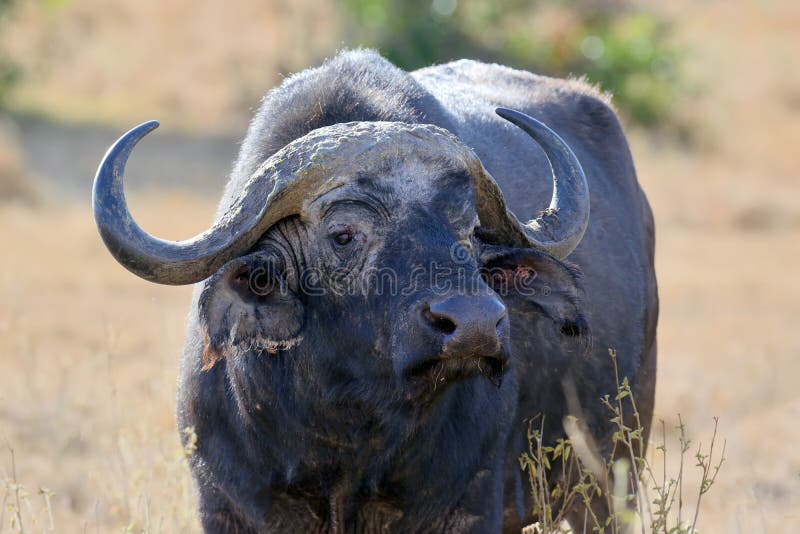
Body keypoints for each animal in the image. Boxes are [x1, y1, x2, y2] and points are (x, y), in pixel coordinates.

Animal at [93, 50, 657, 532]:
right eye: (343, 234)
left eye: (471, 231)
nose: (475, 324)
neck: (345, 434)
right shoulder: (226, 504)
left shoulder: (470, 505)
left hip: (614, 473)